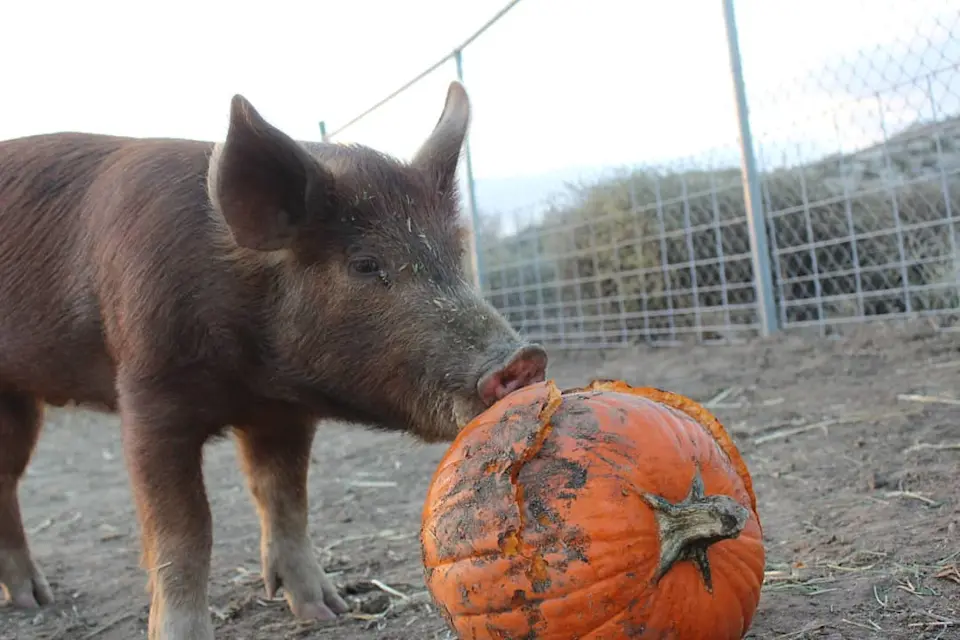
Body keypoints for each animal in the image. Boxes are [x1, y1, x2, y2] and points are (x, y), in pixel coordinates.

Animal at [0, 81, 548, 639]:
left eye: (455, 254)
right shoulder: (149, 392)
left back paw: (34, 598)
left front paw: (328, 610)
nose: (523, 358)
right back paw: (33, 600)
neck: (251, 374)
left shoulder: (283, 413)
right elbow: (185, 529)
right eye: (365, 264)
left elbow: (285, 499)